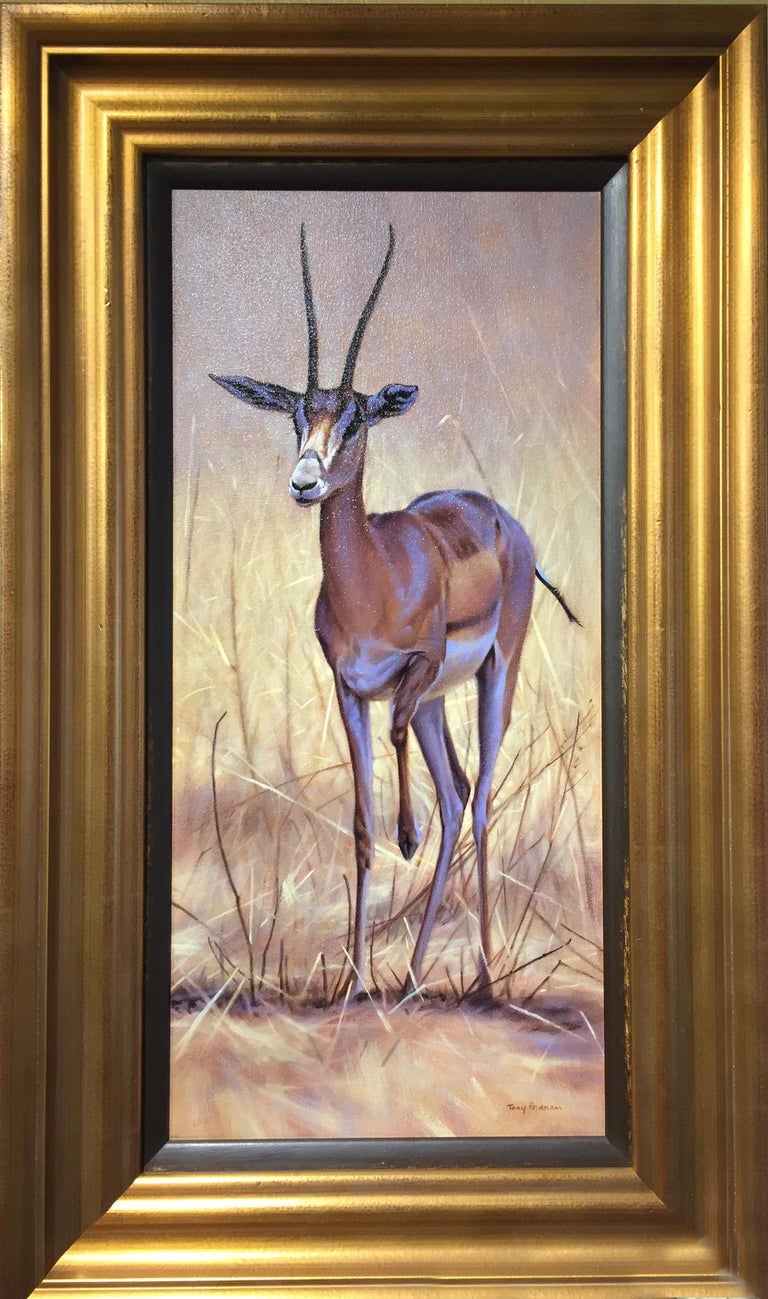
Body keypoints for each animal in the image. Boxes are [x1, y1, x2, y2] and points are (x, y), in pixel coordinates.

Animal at [210, 225, 579, 1002]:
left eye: (354, 420)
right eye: (297, 414)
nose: (304, 481)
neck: (375, 575)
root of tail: (499, 517)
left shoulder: (420, 666)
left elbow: (399, 735)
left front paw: (406, 835)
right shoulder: (349, 689)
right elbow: (358, 823)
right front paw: (353, 980)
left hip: (495, 674)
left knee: (483, 796)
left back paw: (484, 974)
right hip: (445, 698)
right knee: (459, 791)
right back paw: (408, 976)